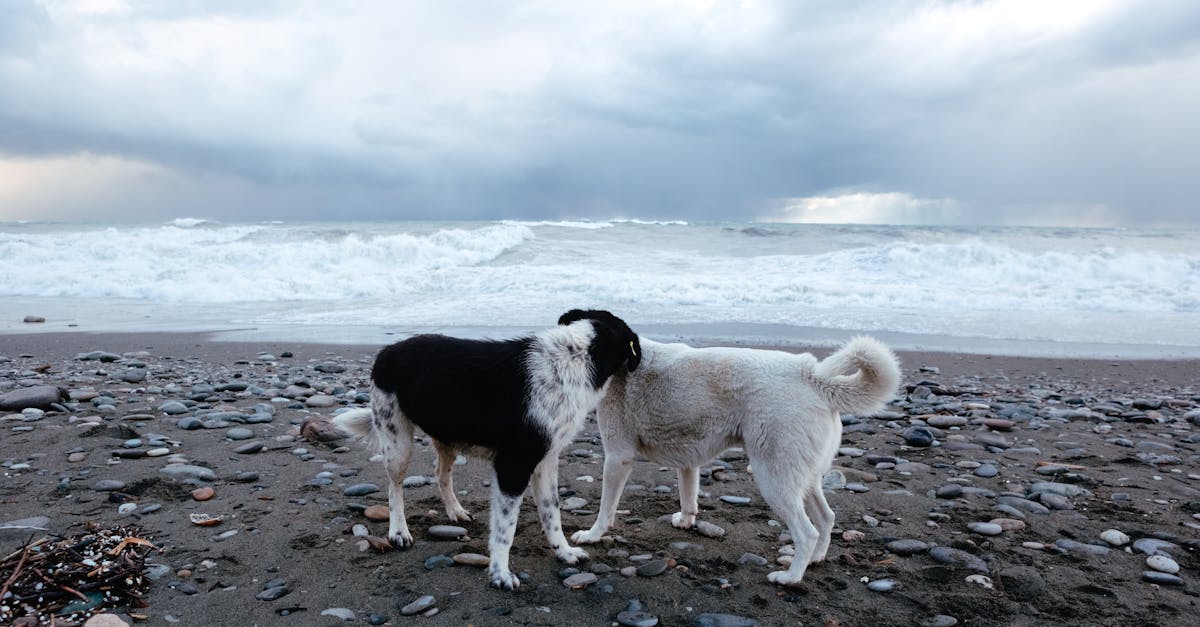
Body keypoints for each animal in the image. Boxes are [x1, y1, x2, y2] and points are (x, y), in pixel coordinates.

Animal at [571, 333, 902, 583]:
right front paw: (686, 521)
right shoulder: (688, 461)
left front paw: (592, 535)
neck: (626, 360)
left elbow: (605, 509)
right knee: (826, 518)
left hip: (774, 478)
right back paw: (816, 559)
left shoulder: (618, 458)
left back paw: (790, 577)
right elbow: (688, 496)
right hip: (803, 477)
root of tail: (812, 377)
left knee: (806, 532)